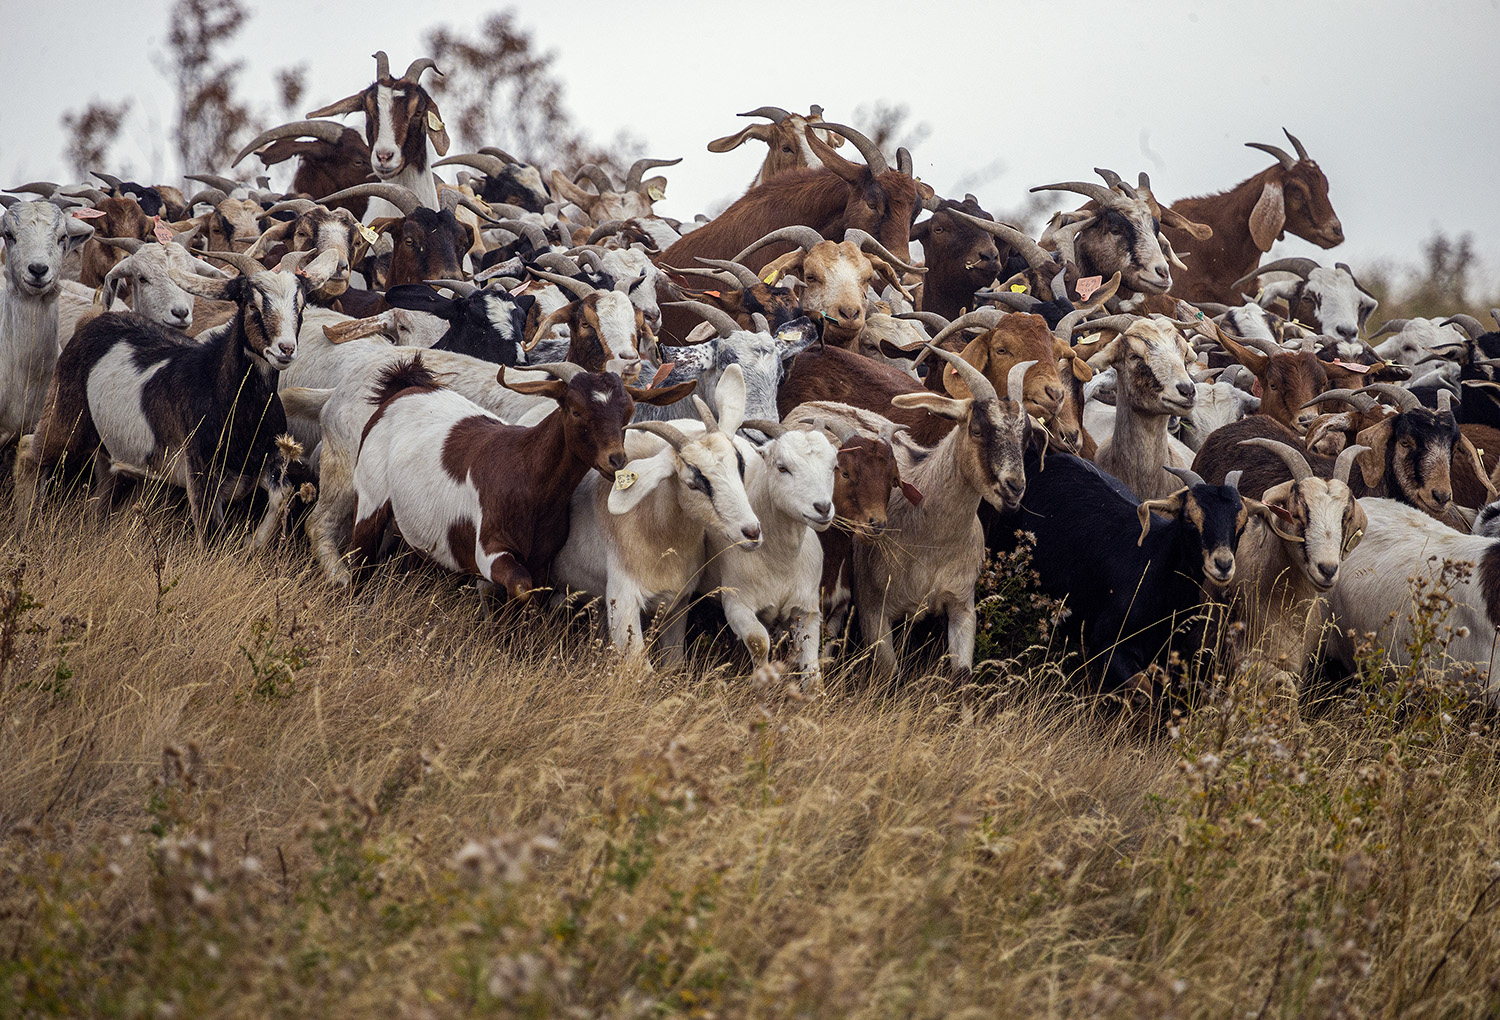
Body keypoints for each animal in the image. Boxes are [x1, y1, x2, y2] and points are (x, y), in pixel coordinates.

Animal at [15, 249, 339, 544]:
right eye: (251, 305)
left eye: (301, 307)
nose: (286, 349)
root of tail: (92, 319)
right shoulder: (201, 475)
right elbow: (210, 536)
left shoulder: (270, 462)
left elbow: (282, 496)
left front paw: (252, 543)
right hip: (66, 416)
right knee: (28, 450)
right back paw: (27, 524)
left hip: (107, 444)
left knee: (104, 478)